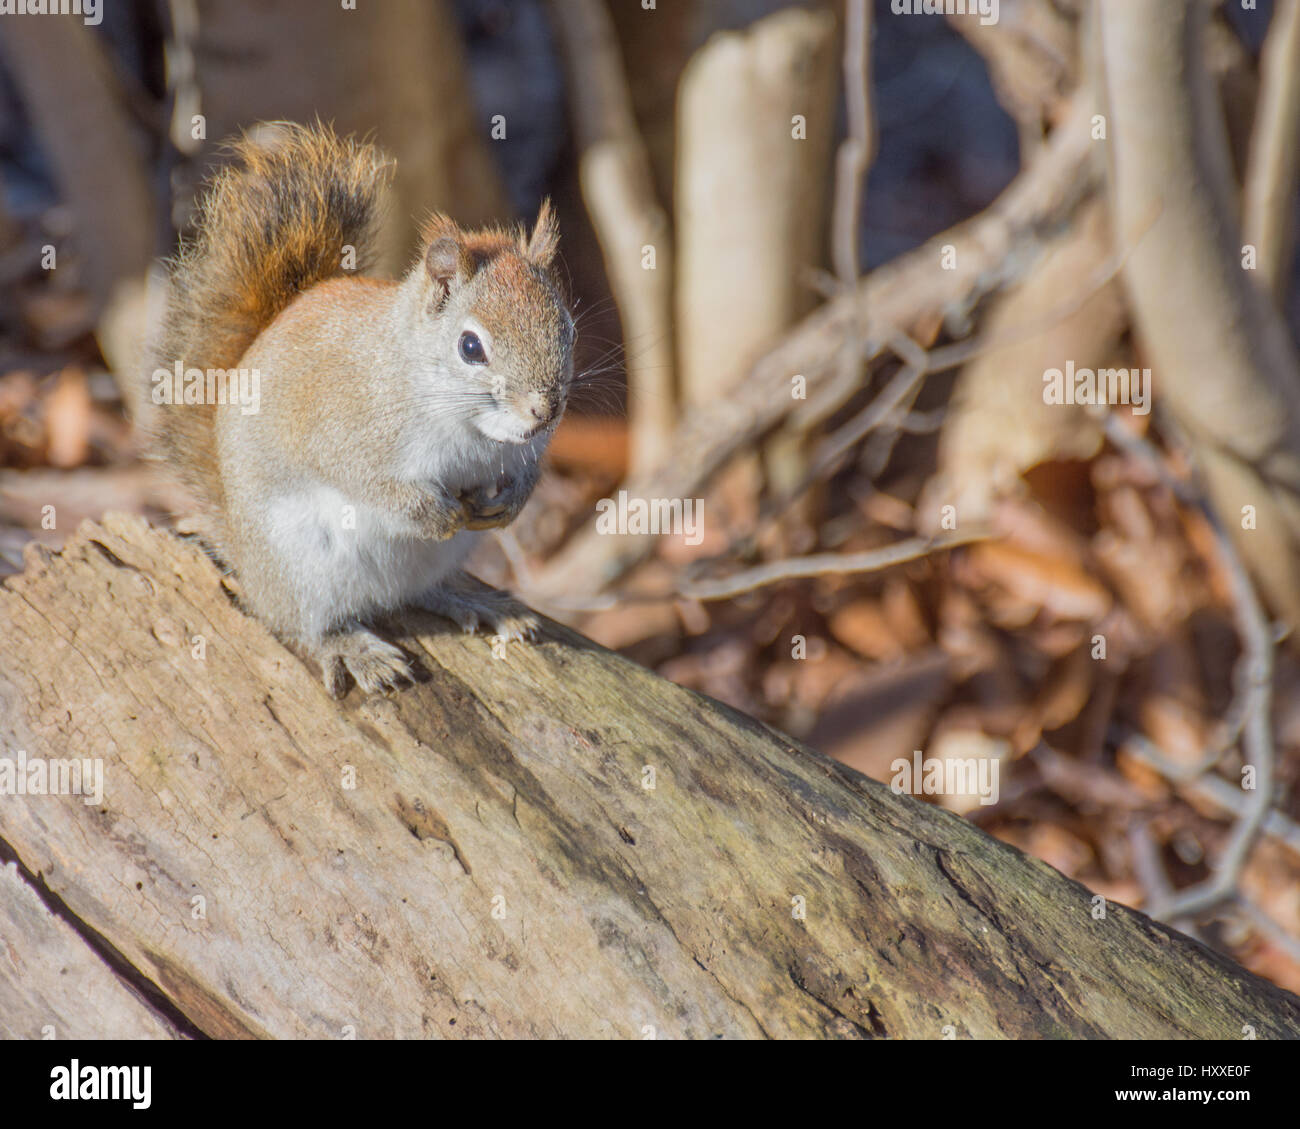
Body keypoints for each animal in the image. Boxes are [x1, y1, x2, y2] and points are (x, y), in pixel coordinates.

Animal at [147, 122, 574, 697]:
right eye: (470, 347)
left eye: (567, 326)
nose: (544, 411)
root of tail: (243, 550)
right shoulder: (347, 428)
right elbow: (363, 479)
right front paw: (434, 512)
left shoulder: (522, 449)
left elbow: (527, 471)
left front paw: (512, 503)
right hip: (300, 566)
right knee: (301, 625)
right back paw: (354, 648)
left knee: (414, 593)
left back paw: (476, 600)